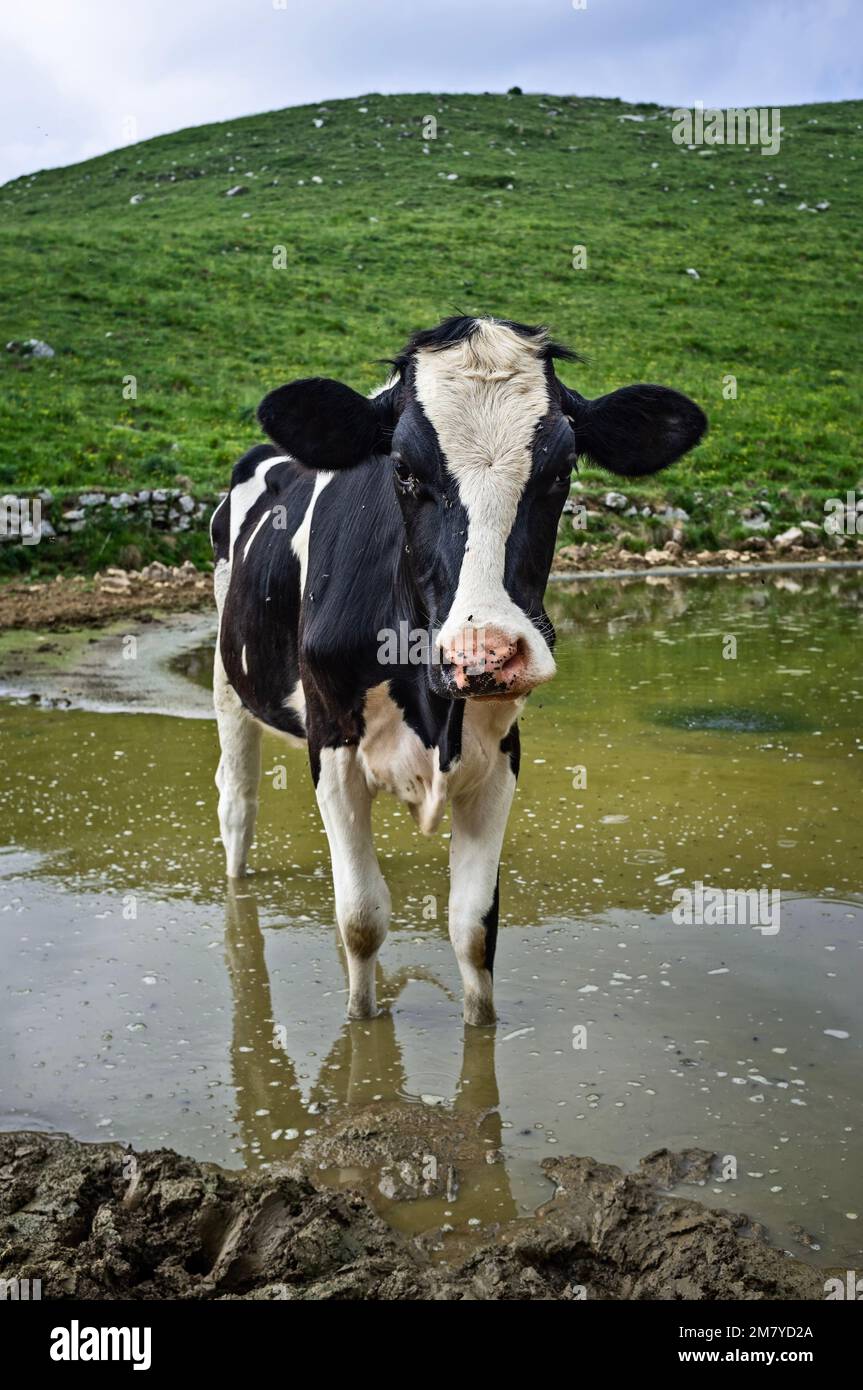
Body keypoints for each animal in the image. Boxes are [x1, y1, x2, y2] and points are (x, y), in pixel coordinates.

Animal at [211, 316, 706, 1025]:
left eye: (562, 470)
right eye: (402, 468)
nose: (486, 651)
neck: (429, 701)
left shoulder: (500, 755)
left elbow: (473, 929)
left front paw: (482, 1027)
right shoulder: (332, 742)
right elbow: (361, 917)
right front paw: (361, 1022)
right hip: (229, 679)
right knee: (237, 799)